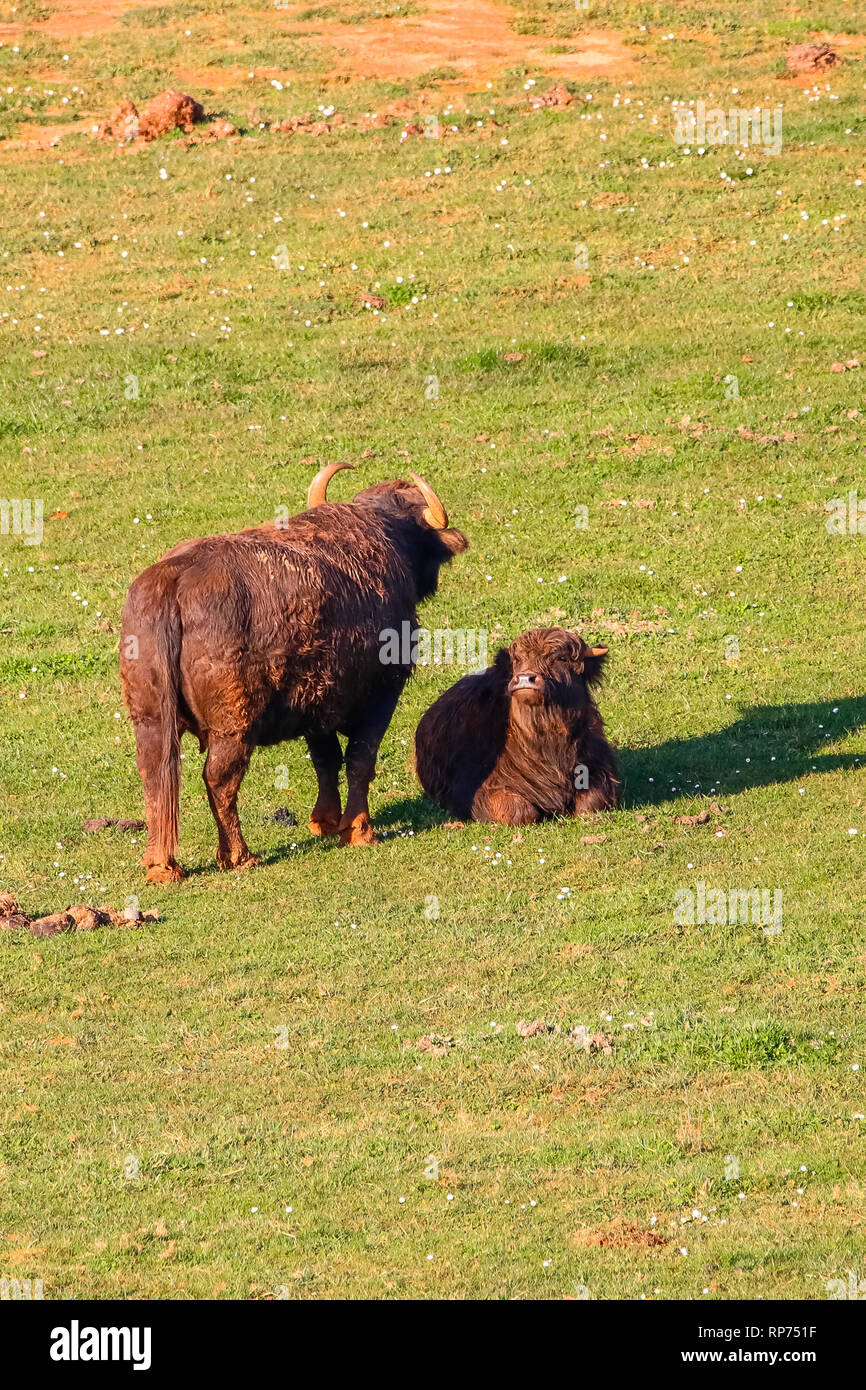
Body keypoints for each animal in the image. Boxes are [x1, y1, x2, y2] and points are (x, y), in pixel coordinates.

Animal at [120, 465, 467, 882]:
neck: (387, 537)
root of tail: (172, 581)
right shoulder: (380, 698)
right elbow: (359, 760)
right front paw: (358, 830)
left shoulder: (316, 708)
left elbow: (326, 760)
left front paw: (325, 822)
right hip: (232, 729)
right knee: (219, 780)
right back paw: (240, 856)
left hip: (151, 721)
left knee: (156, 777)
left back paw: (163, 866)